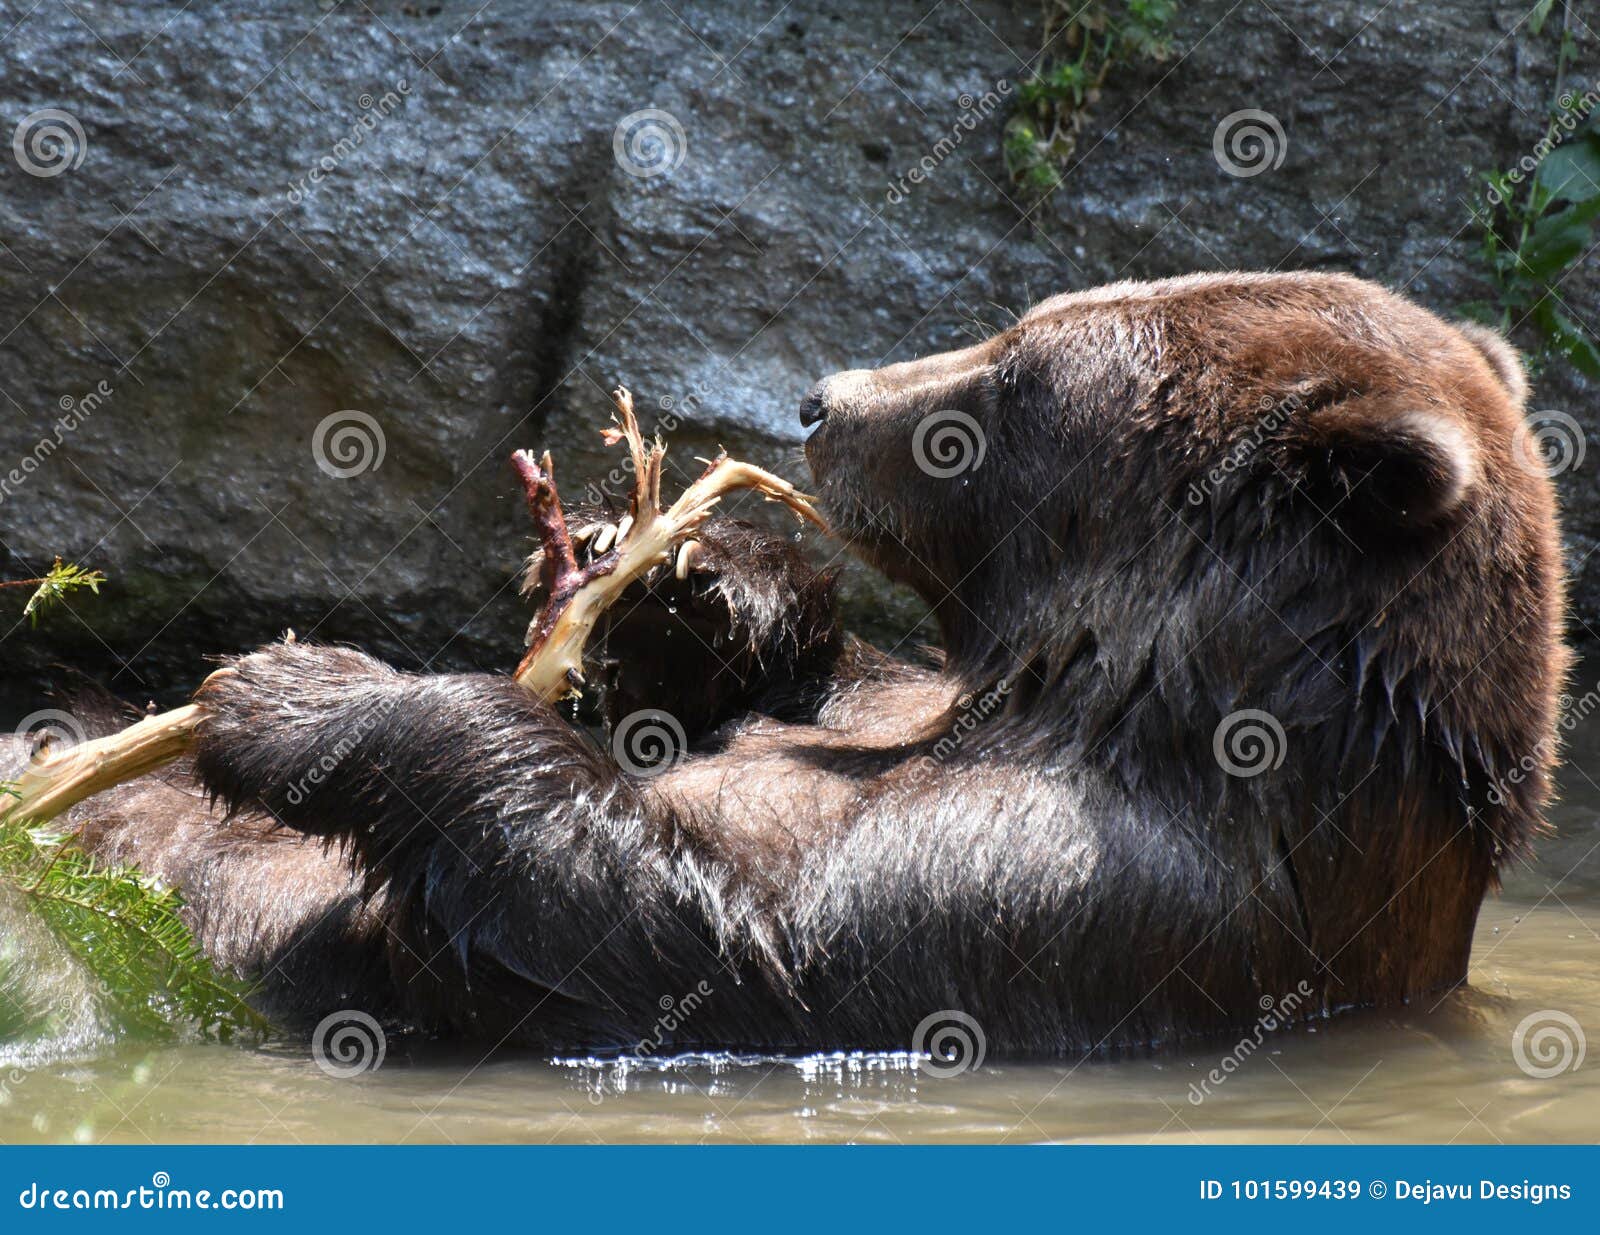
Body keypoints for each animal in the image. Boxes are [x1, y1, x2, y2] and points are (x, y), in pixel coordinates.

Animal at [5, 270, 1567, 1058]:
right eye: (1025, 318)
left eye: (1015, 371)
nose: (825, 399)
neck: (1093, 686)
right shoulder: (902, 712)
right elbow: (781, 692)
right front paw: (669, 571)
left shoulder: (1079, 888)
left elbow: (684, 932)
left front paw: (299, 691)